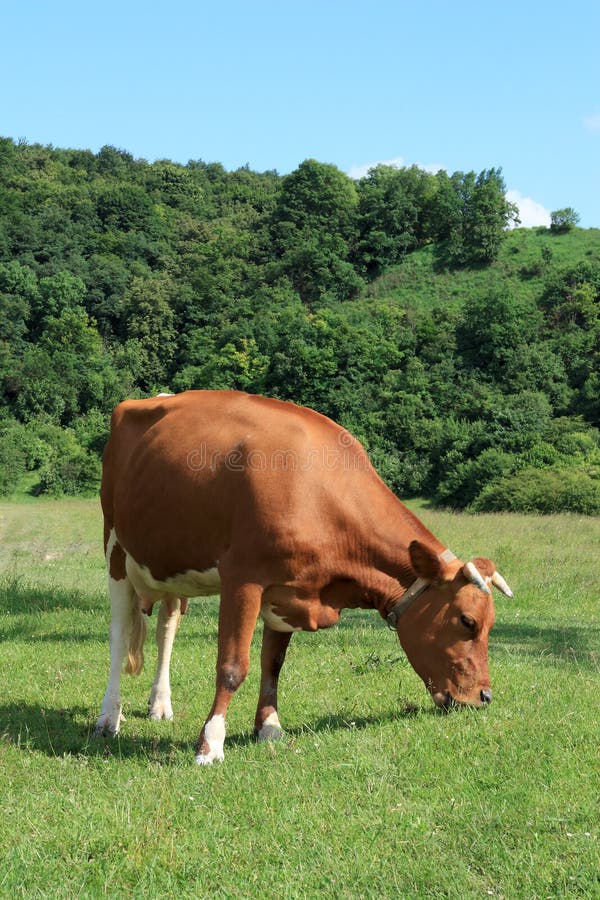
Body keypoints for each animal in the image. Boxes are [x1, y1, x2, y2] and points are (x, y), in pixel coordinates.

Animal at [96, 390, 512, 764]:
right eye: (467, 621)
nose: (485, 697)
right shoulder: (243, 579)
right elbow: (232, 667)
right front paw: (210, 744)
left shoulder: (289, 591)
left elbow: (273, 662)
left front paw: (268, 726)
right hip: (115, 549)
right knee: (119, 634)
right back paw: (109, 716)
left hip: (170, 567)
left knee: (166, 627)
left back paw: (160, 704)